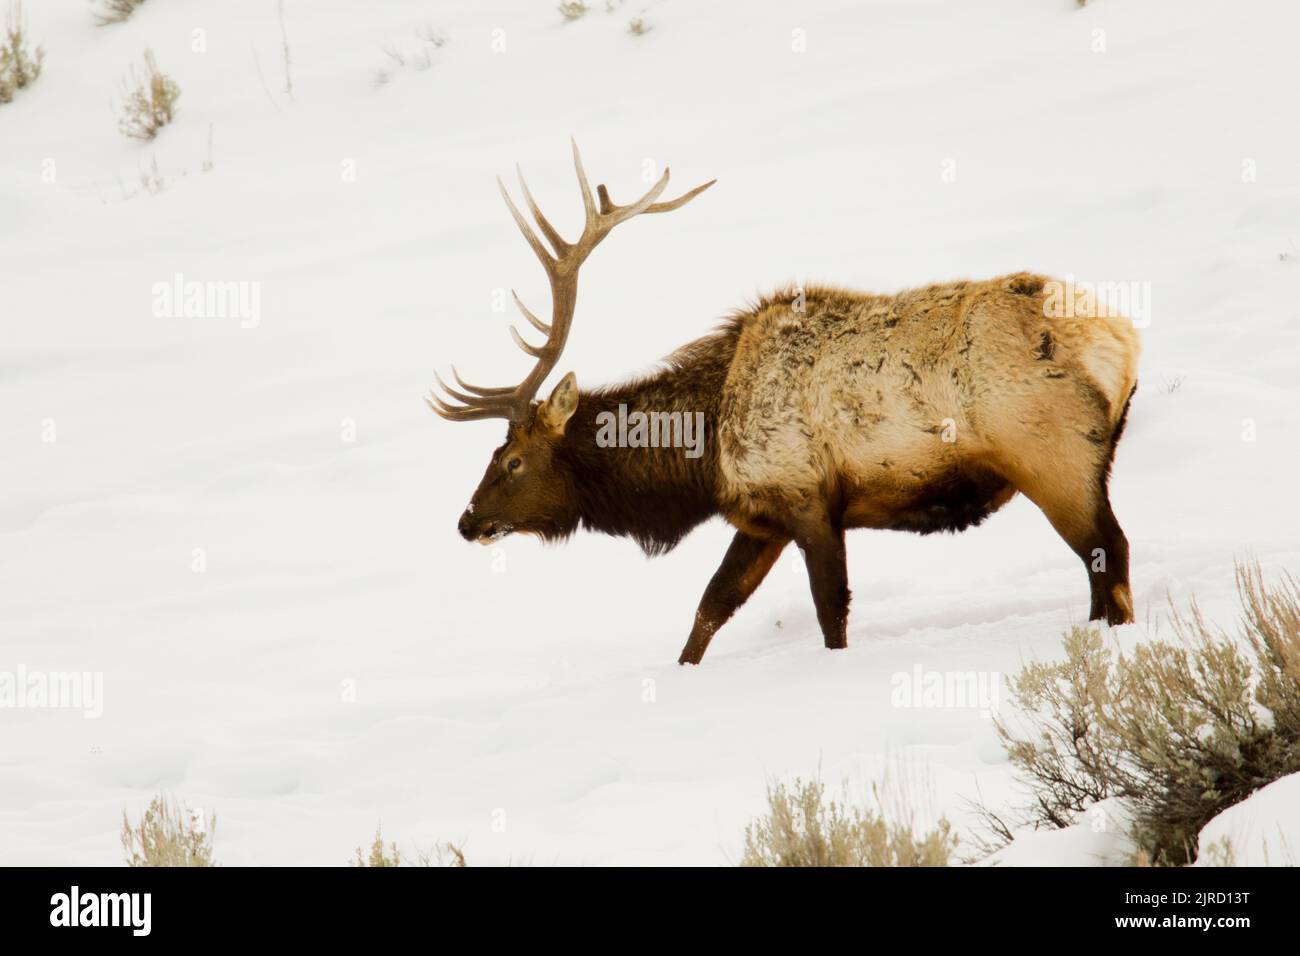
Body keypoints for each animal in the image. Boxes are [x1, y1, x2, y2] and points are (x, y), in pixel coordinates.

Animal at [429, 142, 1141, 665]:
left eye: (512, 460)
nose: (466, 521)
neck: (702, 452)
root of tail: (1120, 336)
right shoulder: (759, 516)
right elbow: (709, 608)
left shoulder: (807, 500)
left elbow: (831, 614)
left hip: (1052, 455)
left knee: (1109, 554)